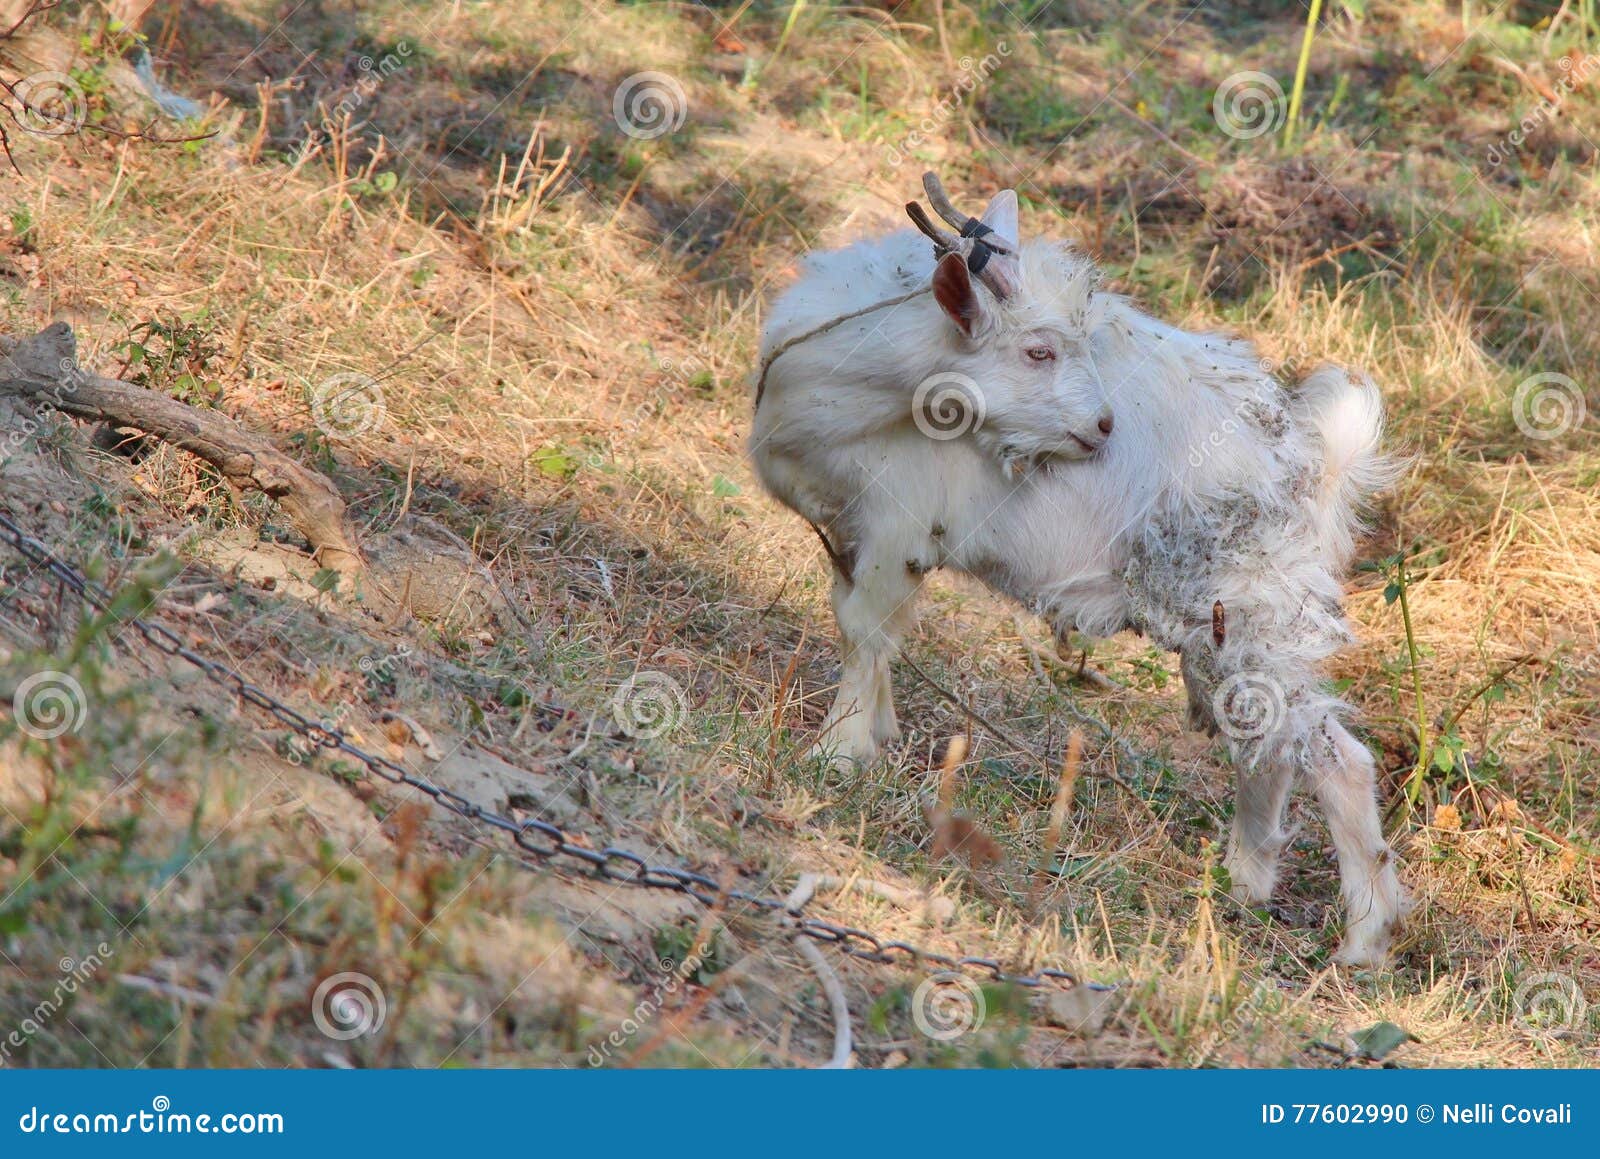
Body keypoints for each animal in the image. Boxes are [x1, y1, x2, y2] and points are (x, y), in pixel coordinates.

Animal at [749, 176, 1407, 966]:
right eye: (1038, 350)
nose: (1103, 427)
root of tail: (1318, 461)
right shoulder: (852, 531)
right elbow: (864, 627)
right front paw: (875, 734)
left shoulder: (896, 525)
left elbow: (864, 632)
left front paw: (836, 756)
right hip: (1229, 625)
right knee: (1264, 739)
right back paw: (1243, 881)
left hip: (1259, 604)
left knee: (1336, 757)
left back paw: (1363, 937)